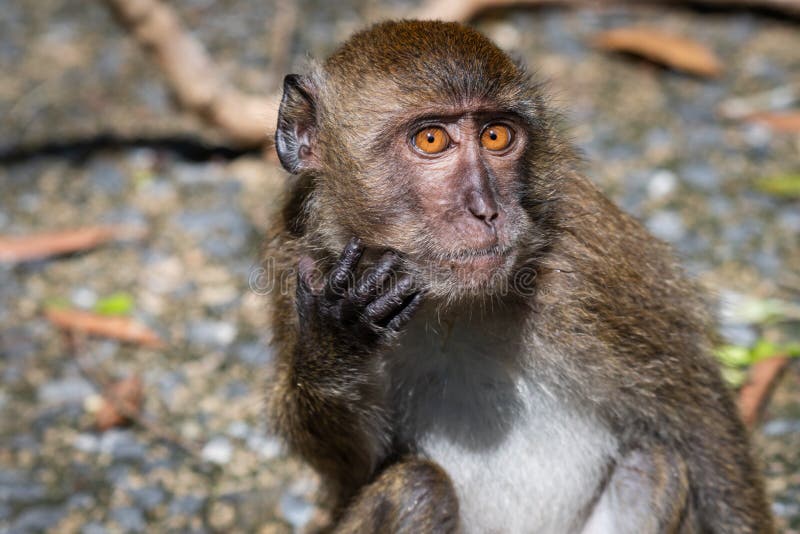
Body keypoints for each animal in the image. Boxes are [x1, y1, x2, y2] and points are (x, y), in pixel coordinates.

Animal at [264, 19, 773, 534]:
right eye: (431, 140)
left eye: (496, 136)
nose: (487, 209)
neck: (453, 305)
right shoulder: (297, 260)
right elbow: (353, 467)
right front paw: (337, 342)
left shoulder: (591, 267)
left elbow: (696, 417)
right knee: (418, 487)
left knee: (655, 465)